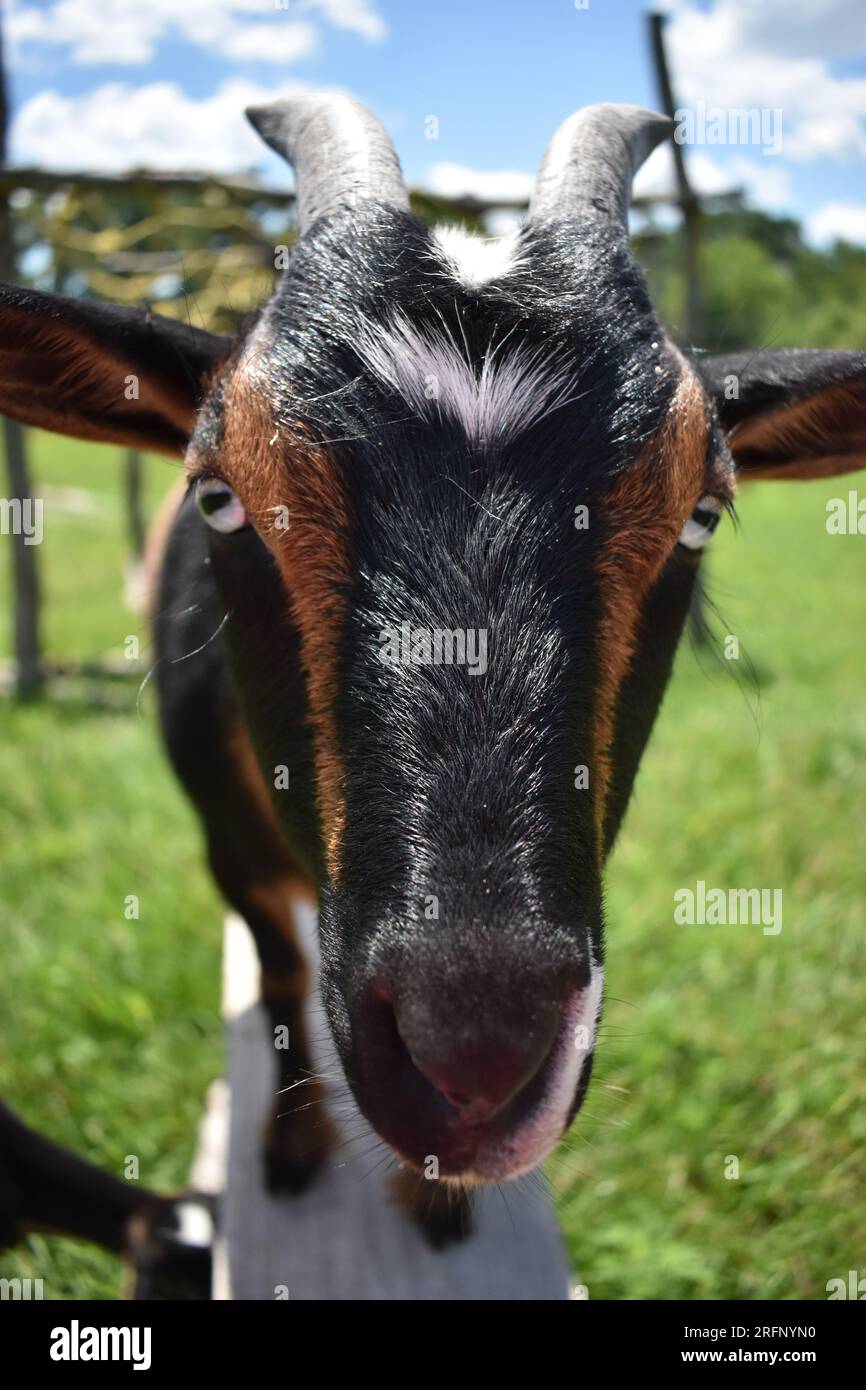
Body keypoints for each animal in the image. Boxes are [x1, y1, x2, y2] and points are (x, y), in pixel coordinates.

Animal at [0, 94, 864, 1285]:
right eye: (219, 494)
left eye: (699, 511)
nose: (475, 1061)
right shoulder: (224, 844)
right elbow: (279, 974)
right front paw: (288, 1149)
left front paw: (437, 1197)